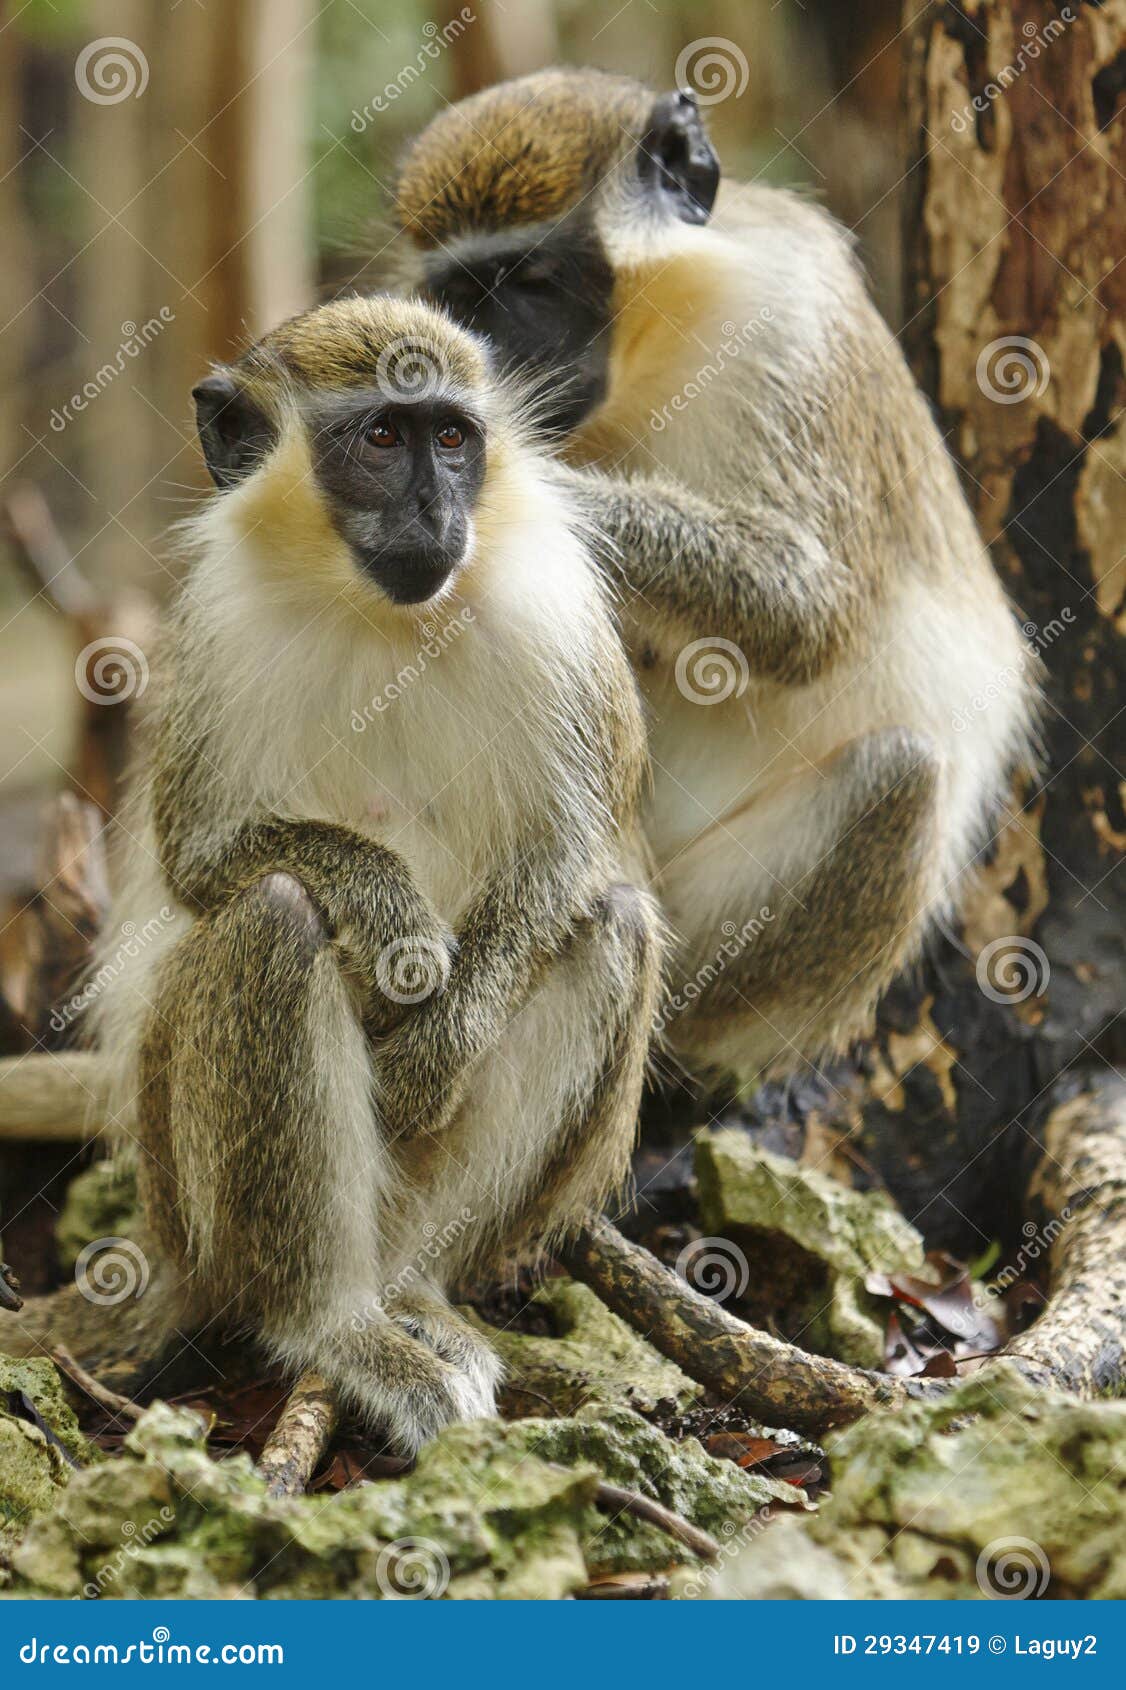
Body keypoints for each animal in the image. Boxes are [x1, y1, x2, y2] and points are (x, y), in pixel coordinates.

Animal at [0, 294, 663, 1453]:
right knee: (274, 918)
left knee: (611, 921)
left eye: (453, 438)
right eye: (382, 439)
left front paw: (438, 1046)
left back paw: (411, 1296)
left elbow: (564, 858)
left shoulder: (556, 609)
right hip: (186, 1193)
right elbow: (204, 857)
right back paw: (333, 1323)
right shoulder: (214, 624)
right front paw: (386, 909)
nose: (436, 513)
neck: (380, 614)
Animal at [386, 67, 1040, 1096]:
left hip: (696, 936)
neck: (654, 357)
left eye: (532, 285)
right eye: (460, 294)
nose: (489, 366)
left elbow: (811, 607)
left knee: (903, 775)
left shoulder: (790, 322)